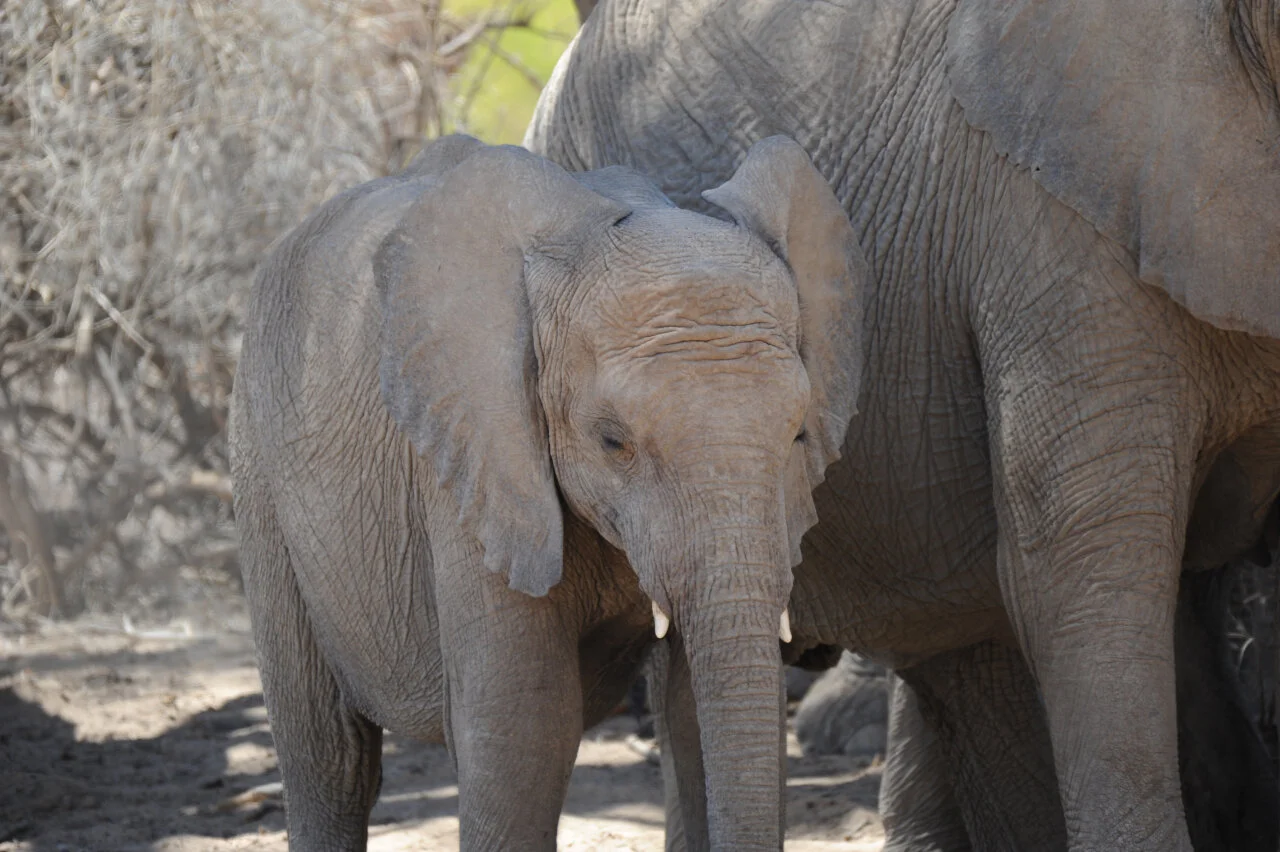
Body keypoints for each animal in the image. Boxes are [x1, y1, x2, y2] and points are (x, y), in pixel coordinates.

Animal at [229, 133, 869, 850]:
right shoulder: (475, 457)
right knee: (328, 759)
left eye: (798, 436)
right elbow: (524, 725)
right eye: (613, 441)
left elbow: (689, 713)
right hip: (257, 465)